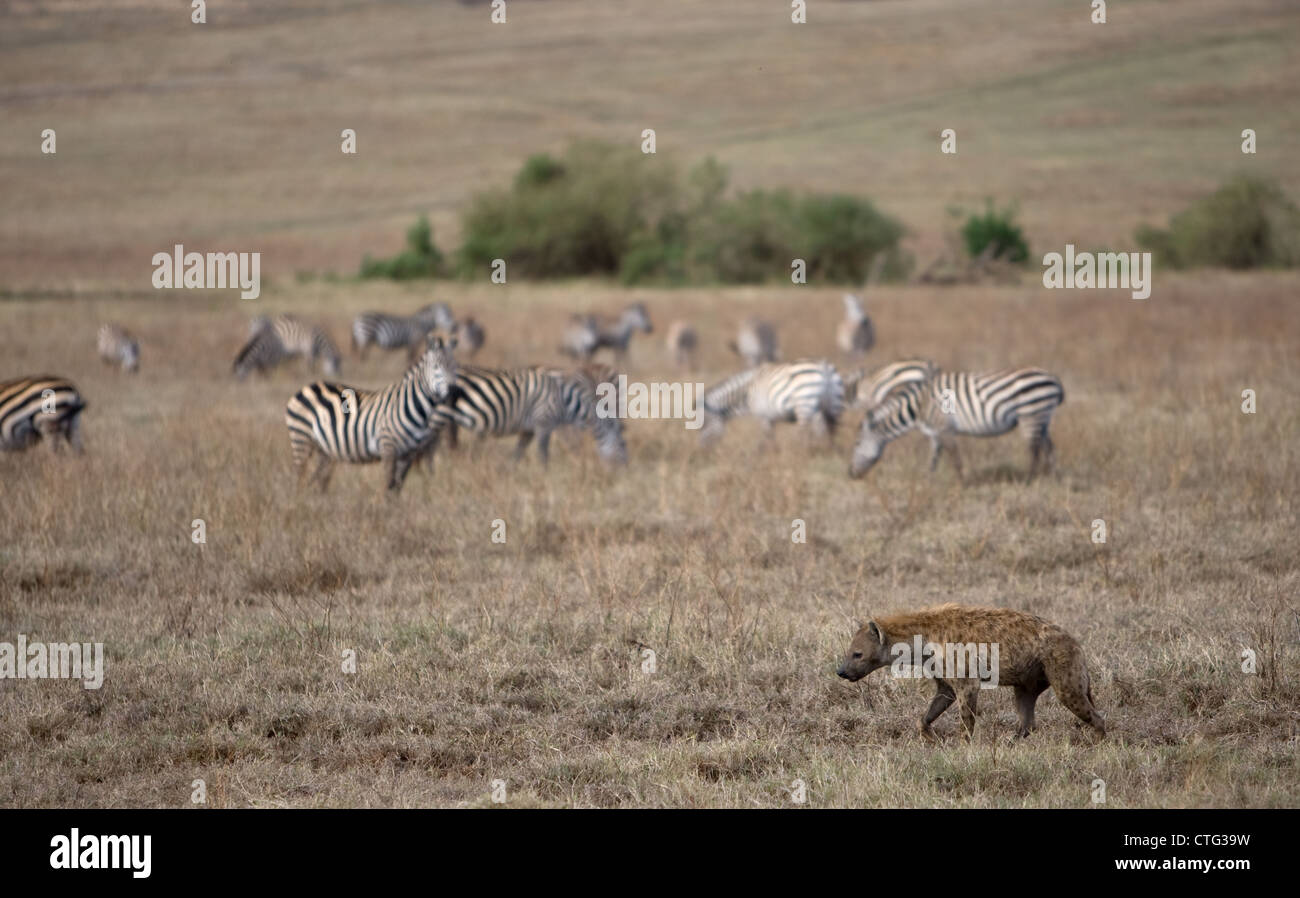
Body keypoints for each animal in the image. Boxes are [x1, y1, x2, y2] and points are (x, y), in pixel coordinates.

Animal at [284, 335, 458, 493]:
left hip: (323, 449)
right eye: (437, 367)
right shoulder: (388, 447)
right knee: (296, 475)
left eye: (455, 365)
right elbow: (388, 484)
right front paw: (385, 507)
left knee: (320, 478)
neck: (415, 406)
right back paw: (296, 501)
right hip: (301, 437)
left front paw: (396, 507)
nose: (452, 392)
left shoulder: (408, 454)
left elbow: (397, 486)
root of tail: (305, 388)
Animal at [699, 360, 845, 444]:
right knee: (832, 430)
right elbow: (770, 439)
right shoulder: (771, 417)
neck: (747, 392)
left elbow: (767, 440)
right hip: (834, 406)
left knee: (804, 432)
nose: (701, 450)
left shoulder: (764, 416)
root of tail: (824, 367)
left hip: (804, 405)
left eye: (703, 425)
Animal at [849, 367, 1064, 480]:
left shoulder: (944, 428)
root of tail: (1054, 380)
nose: (850, 474)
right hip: (1042, 418)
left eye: (857, 444)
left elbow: (954, 457)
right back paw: (1052, 476)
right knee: (1049, 447)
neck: (919, 405)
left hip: (1031, 415)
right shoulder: (935, 433)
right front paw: (928, 480)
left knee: (1034, 449)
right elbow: (934, 458)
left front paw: (962, 483)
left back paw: (1030, 478)